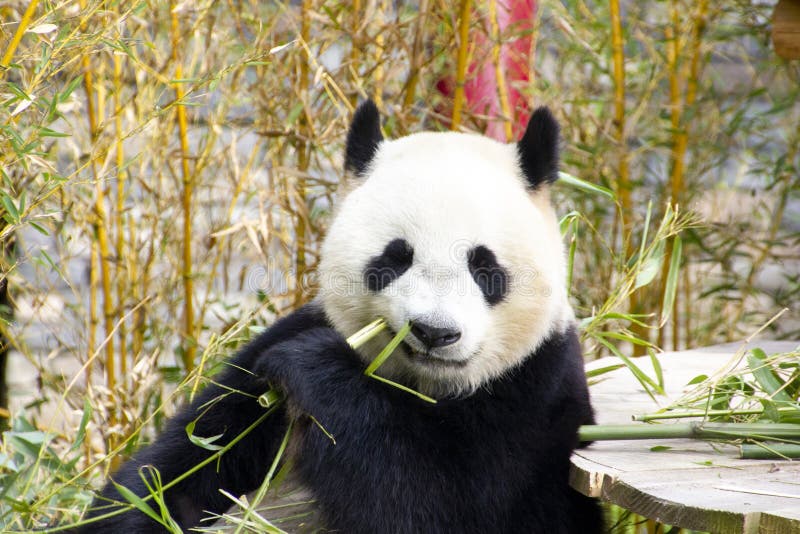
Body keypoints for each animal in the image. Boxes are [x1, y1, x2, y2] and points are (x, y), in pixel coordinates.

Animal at [78, 101, 602, 533]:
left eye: (485, 268)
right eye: (395, 258)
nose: (434, 332)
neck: (425, 386)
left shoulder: (530, 398)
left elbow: (428, 506)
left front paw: (315, 367)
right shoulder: (264, 373)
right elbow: (179, 471)